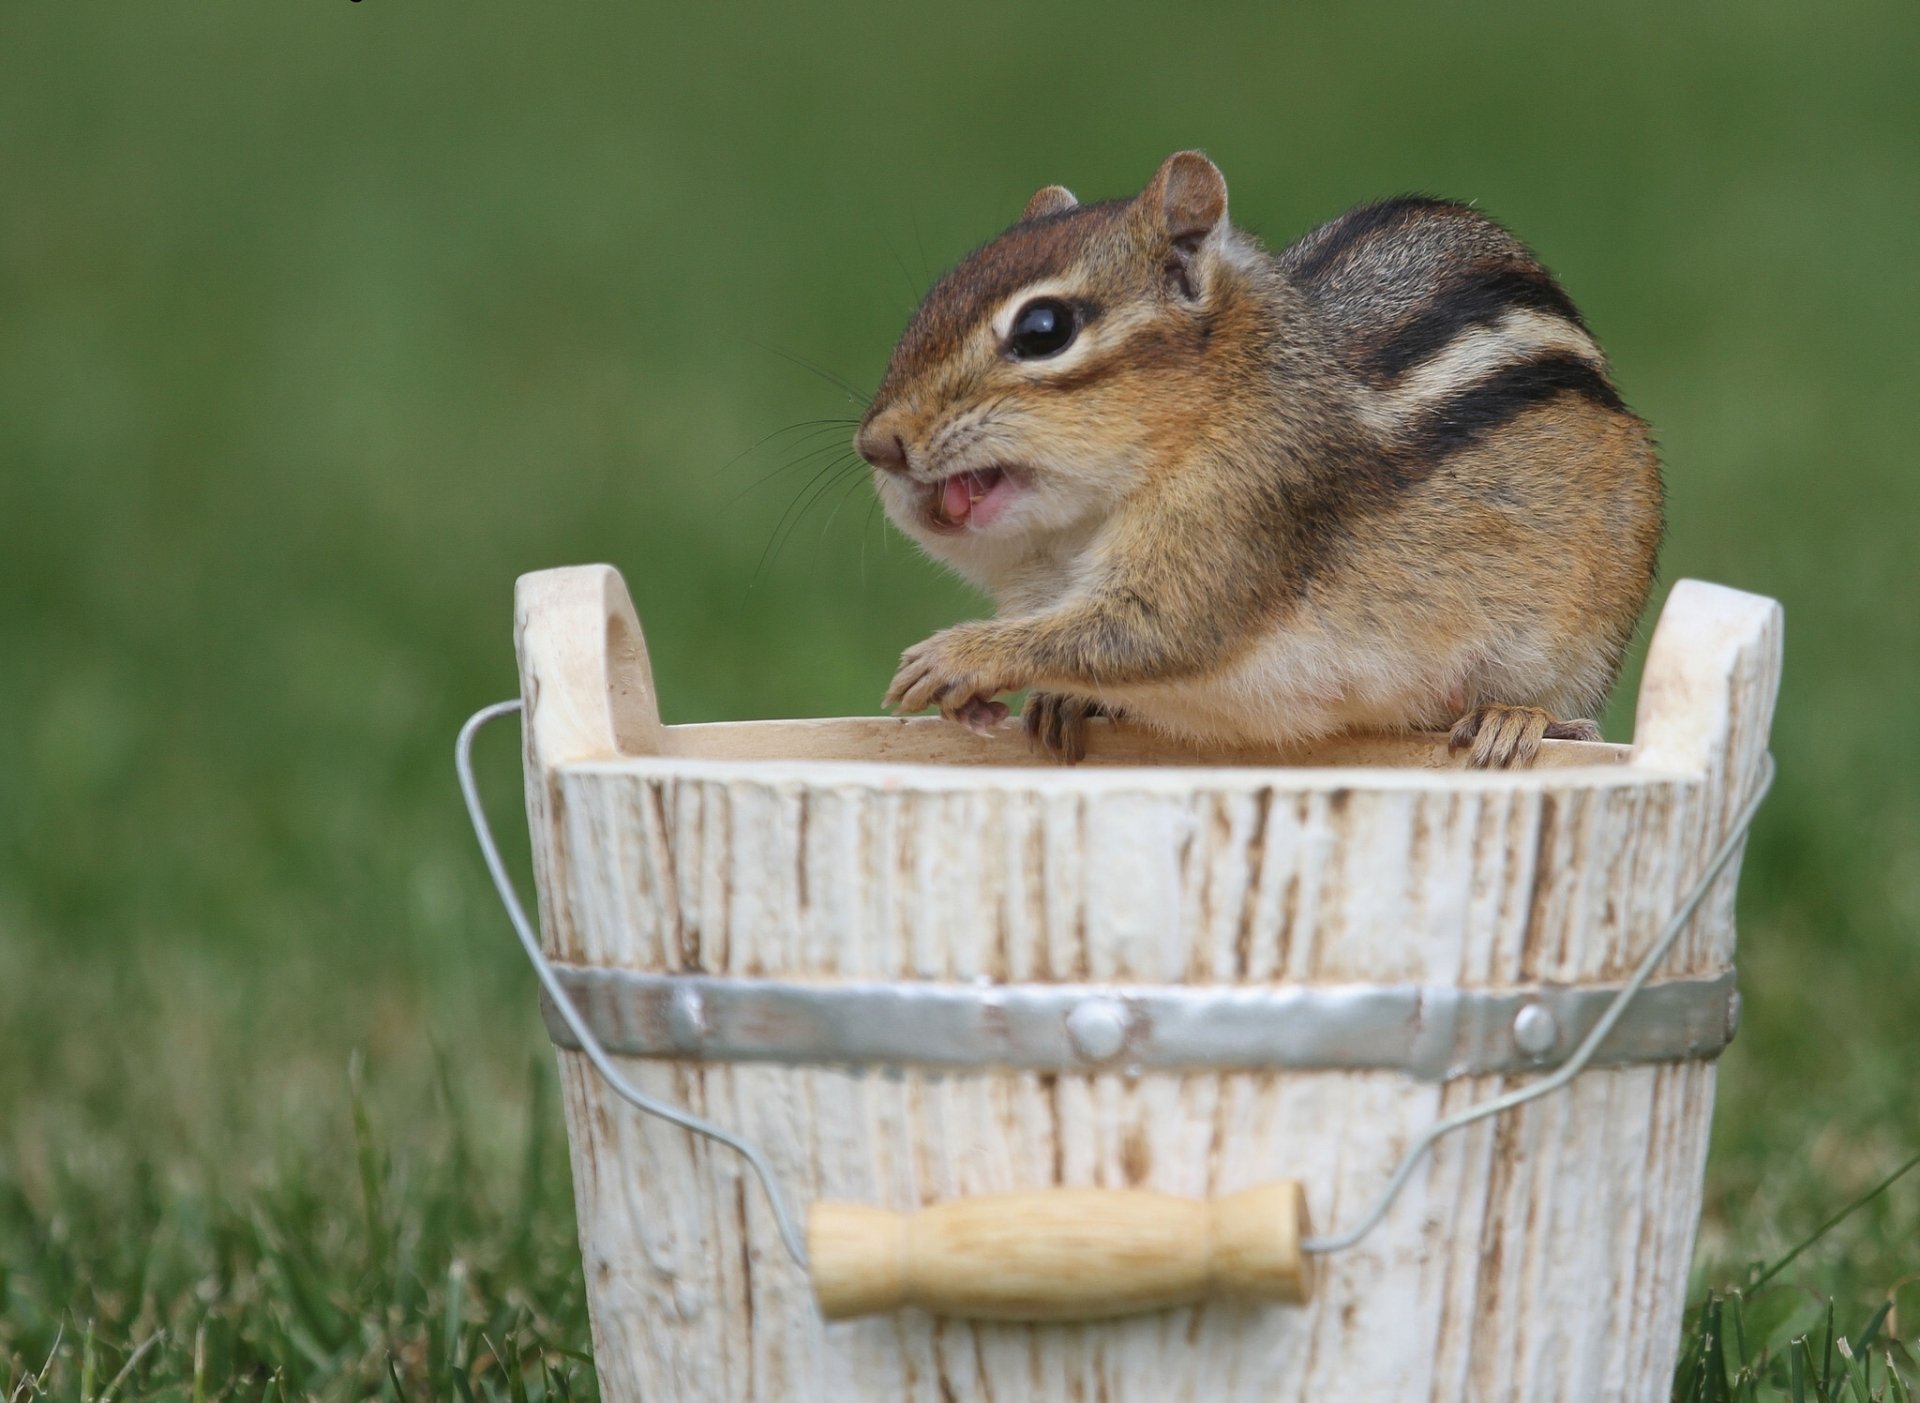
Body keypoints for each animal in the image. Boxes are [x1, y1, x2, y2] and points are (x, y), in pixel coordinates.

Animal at [856, 151, 1662, 768]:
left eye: (1043, 329)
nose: (877, 444)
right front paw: (1054, 697)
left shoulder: (1242, 519)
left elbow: (1151, 632)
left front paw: (958, 656)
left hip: (1581, 633)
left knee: (1561, 707)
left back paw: (1515, 717)